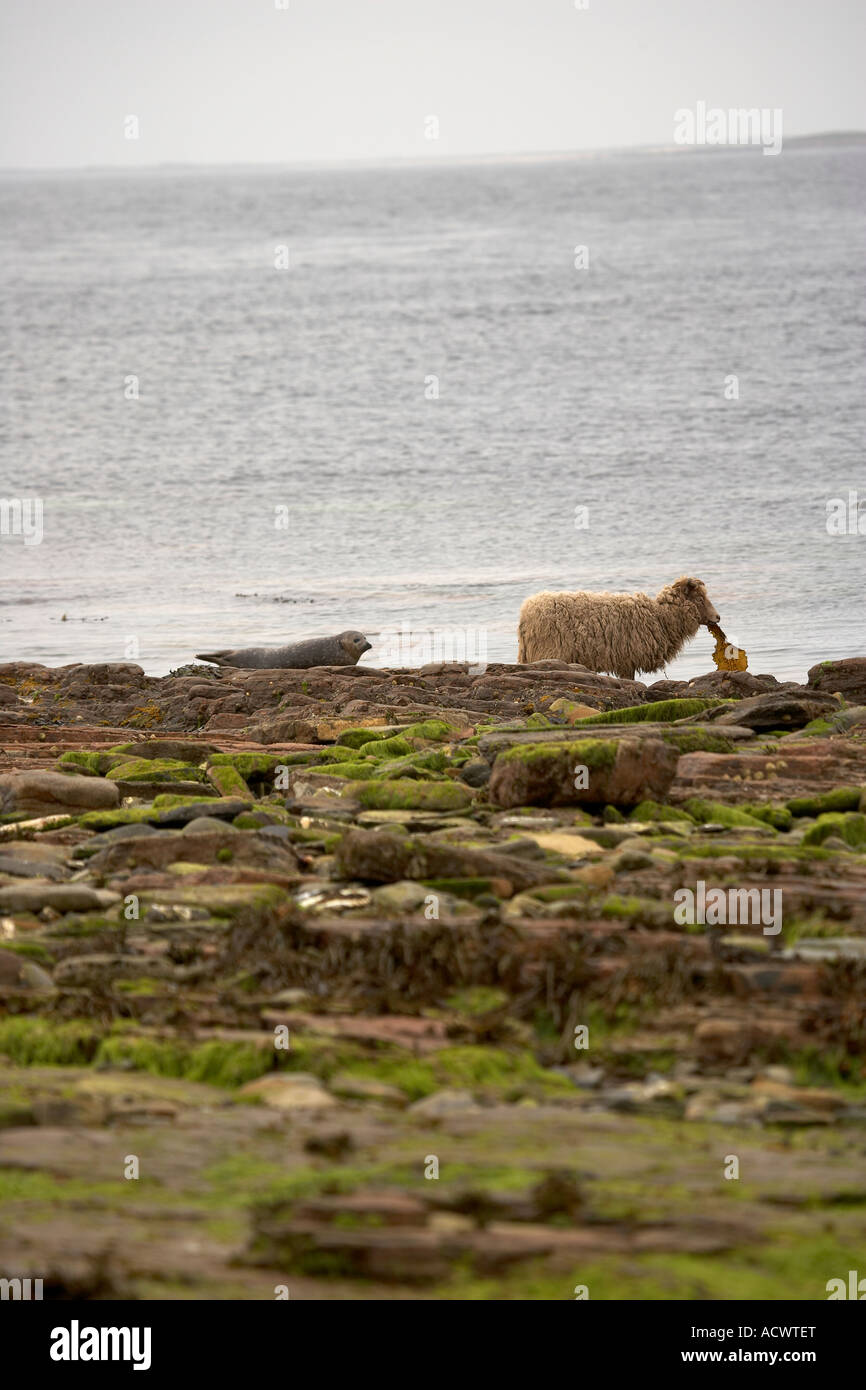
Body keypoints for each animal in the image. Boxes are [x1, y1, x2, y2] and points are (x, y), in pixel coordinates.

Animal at [517, 577, 721, 680]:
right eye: (700, 599)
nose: (717, 617)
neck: (659, 615)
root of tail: (526, 611)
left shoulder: (626, 661)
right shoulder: (628, 659)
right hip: (548, 652)